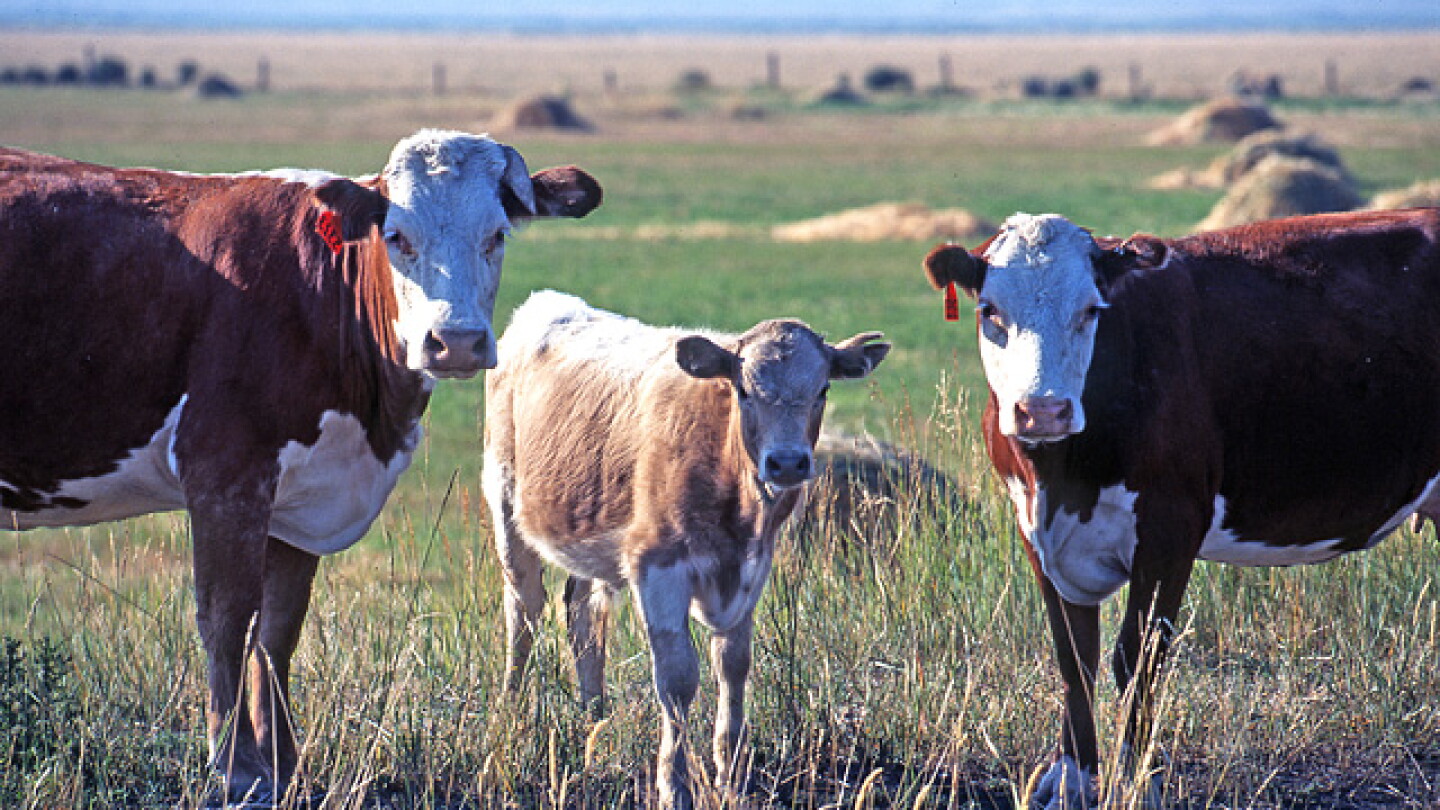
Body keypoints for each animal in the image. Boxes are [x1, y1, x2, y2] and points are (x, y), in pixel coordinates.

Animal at [0, 131, 601, 805]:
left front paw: (283, 765)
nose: (457, 342)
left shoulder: (302, 496)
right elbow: (227, 616)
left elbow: (278, 628)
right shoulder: (226, 473)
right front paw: (236, 768)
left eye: (496, 234)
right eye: (398, 237)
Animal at [482, 291, 889, 809]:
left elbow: (733, 666)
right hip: (505, 505)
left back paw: (595, 718)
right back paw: (511, 716)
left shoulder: (752, 569)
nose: (787, 462)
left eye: (822, 389)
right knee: (524, 615)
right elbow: (678, 680)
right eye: (744, 390)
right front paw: (673, 785)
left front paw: (731, 775)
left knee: (581, 617)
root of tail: (546, 302)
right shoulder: (657, 566)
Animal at [923, 209, 1440, 809]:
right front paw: (1072, 779)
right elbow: (1074, 657)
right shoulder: (1036, 530)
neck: (1061, 478)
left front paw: (1136, 781)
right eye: (990, 311)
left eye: (1091, 310)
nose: (1043, 410)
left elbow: (1137, 658)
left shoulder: (1170, 527)